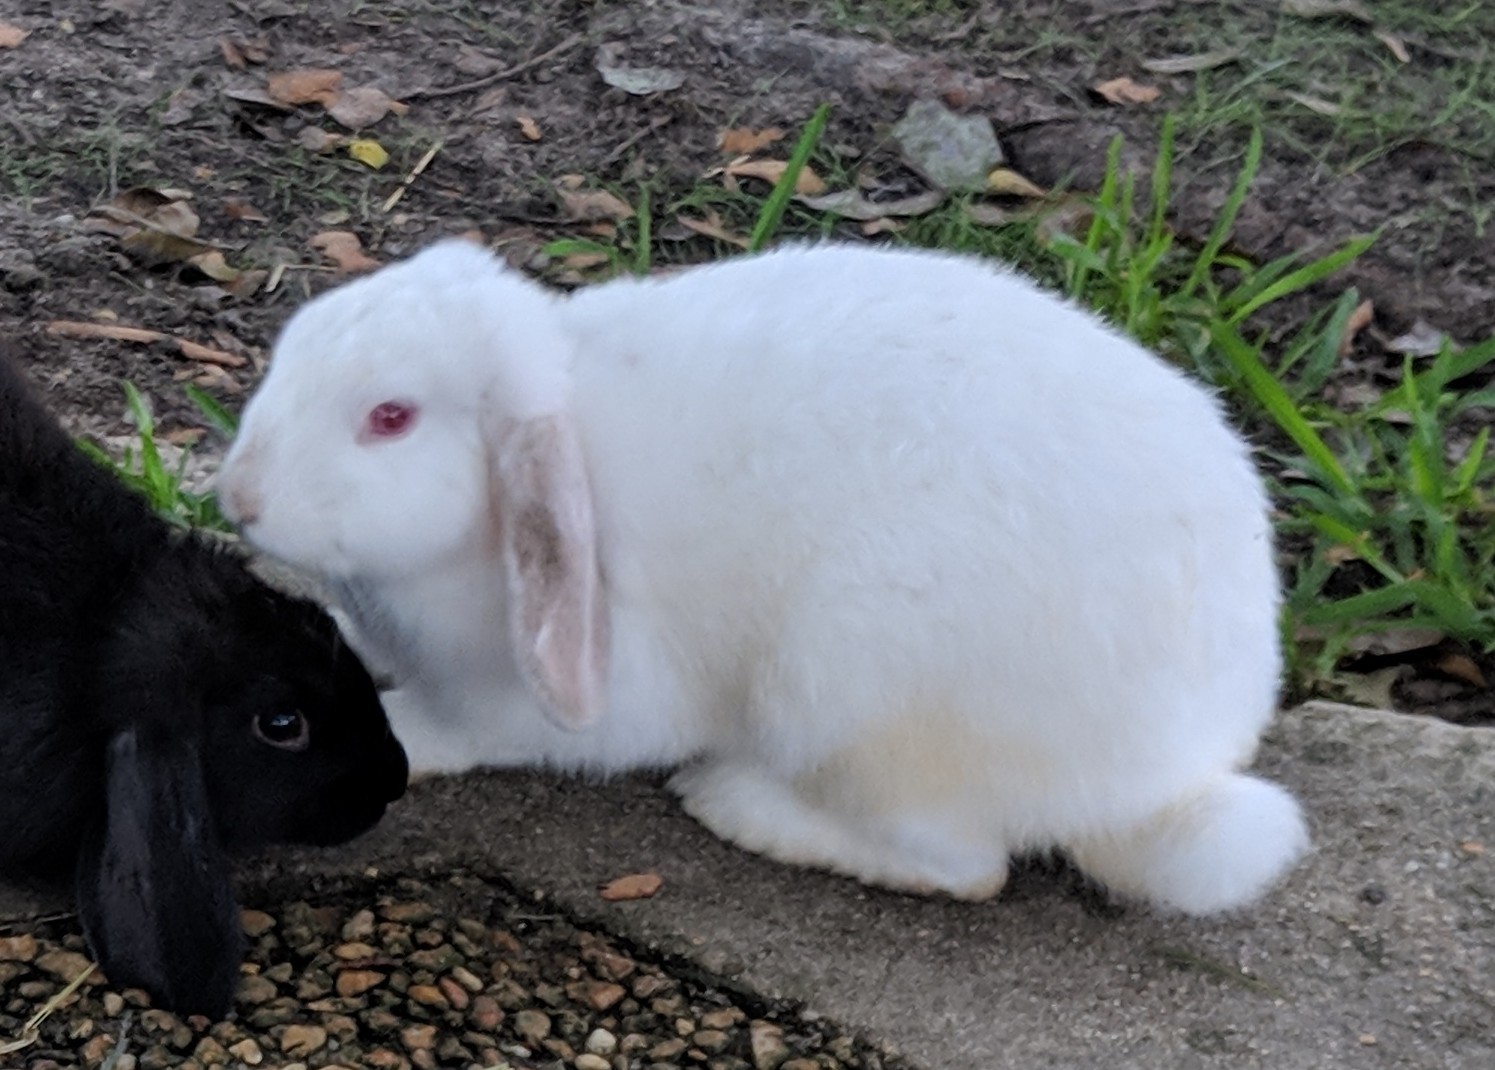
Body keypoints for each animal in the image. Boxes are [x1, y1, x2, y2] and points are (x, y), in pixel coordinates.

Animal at [216, 240, 1309, 915]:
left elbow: (457, 729)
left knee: (964, 866)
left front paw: (397, 727)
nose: (240, 495)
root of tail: (1175, 770)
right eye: (290, 347)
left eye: (389, 417)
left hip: (850, 685)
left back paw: (736, 803)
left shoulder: (568, 692)